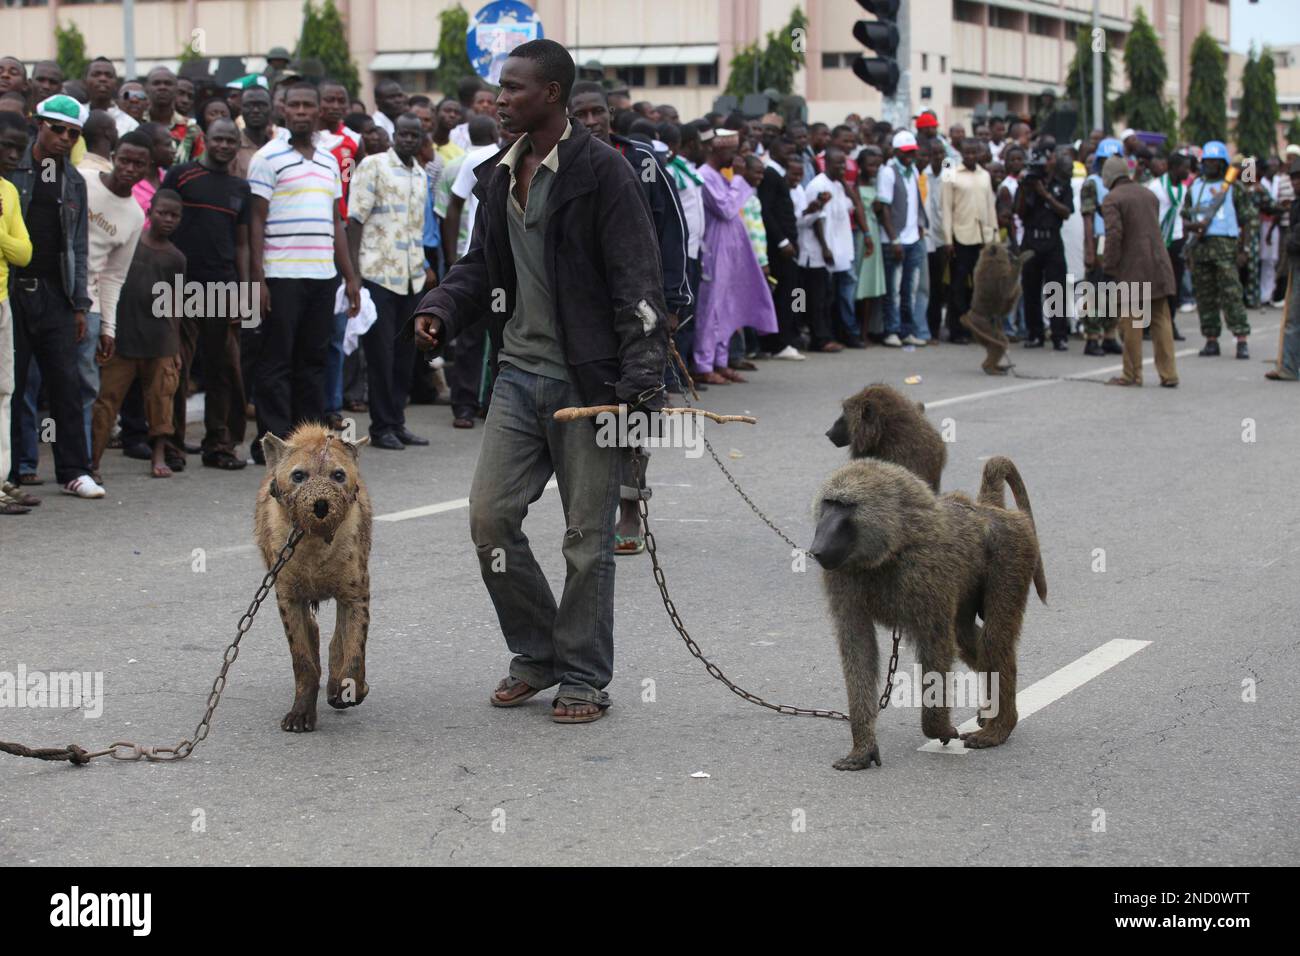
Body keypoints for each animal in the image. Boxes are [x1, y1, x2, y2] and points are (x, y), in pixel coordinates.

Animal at [810, 456, 1047, 769]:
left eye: (845, 506)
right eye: (829, 503)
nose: (817, 549)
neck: (894, 544)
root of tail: (990, 508)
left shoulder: (924, 572)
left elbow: (935, 645)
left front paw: (939, 728)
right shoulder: (842, 576)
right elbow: (858, 647)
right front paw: (862, 749)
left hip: (1012, 553)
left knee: (993, 640)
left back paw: (1000, 727)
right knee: (967, 638)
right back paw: (993, 713)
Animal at [958, 244, 1034, 376]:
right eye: (1008, 252)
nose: (1013, 255)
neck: (991, 259)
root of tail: (970, 316)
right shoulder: (996, 270)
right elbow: (1007, 289)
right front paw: (1022, 259)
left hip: (981, 332)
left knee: (994, 344)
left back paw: (996, 367)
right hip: (983, 326)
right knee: (1000, 341)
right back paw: (989, 368)